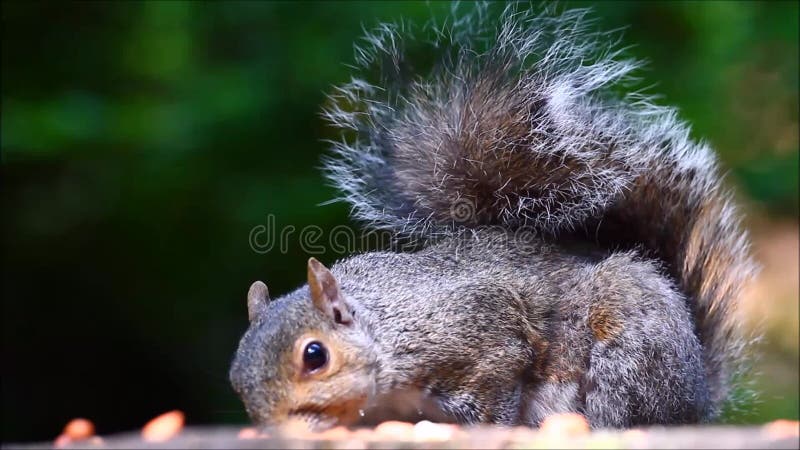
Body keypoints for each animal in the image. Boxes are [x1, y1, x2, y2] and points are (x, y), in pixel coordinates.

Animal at [229, 3, 756, 430]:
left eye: (315, 356)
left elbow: (498, 389)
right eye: (236, 374)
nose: (276, 430)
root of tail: (698, 398)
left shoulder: (483, 337)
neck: (386, 328)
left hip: (629, 350)